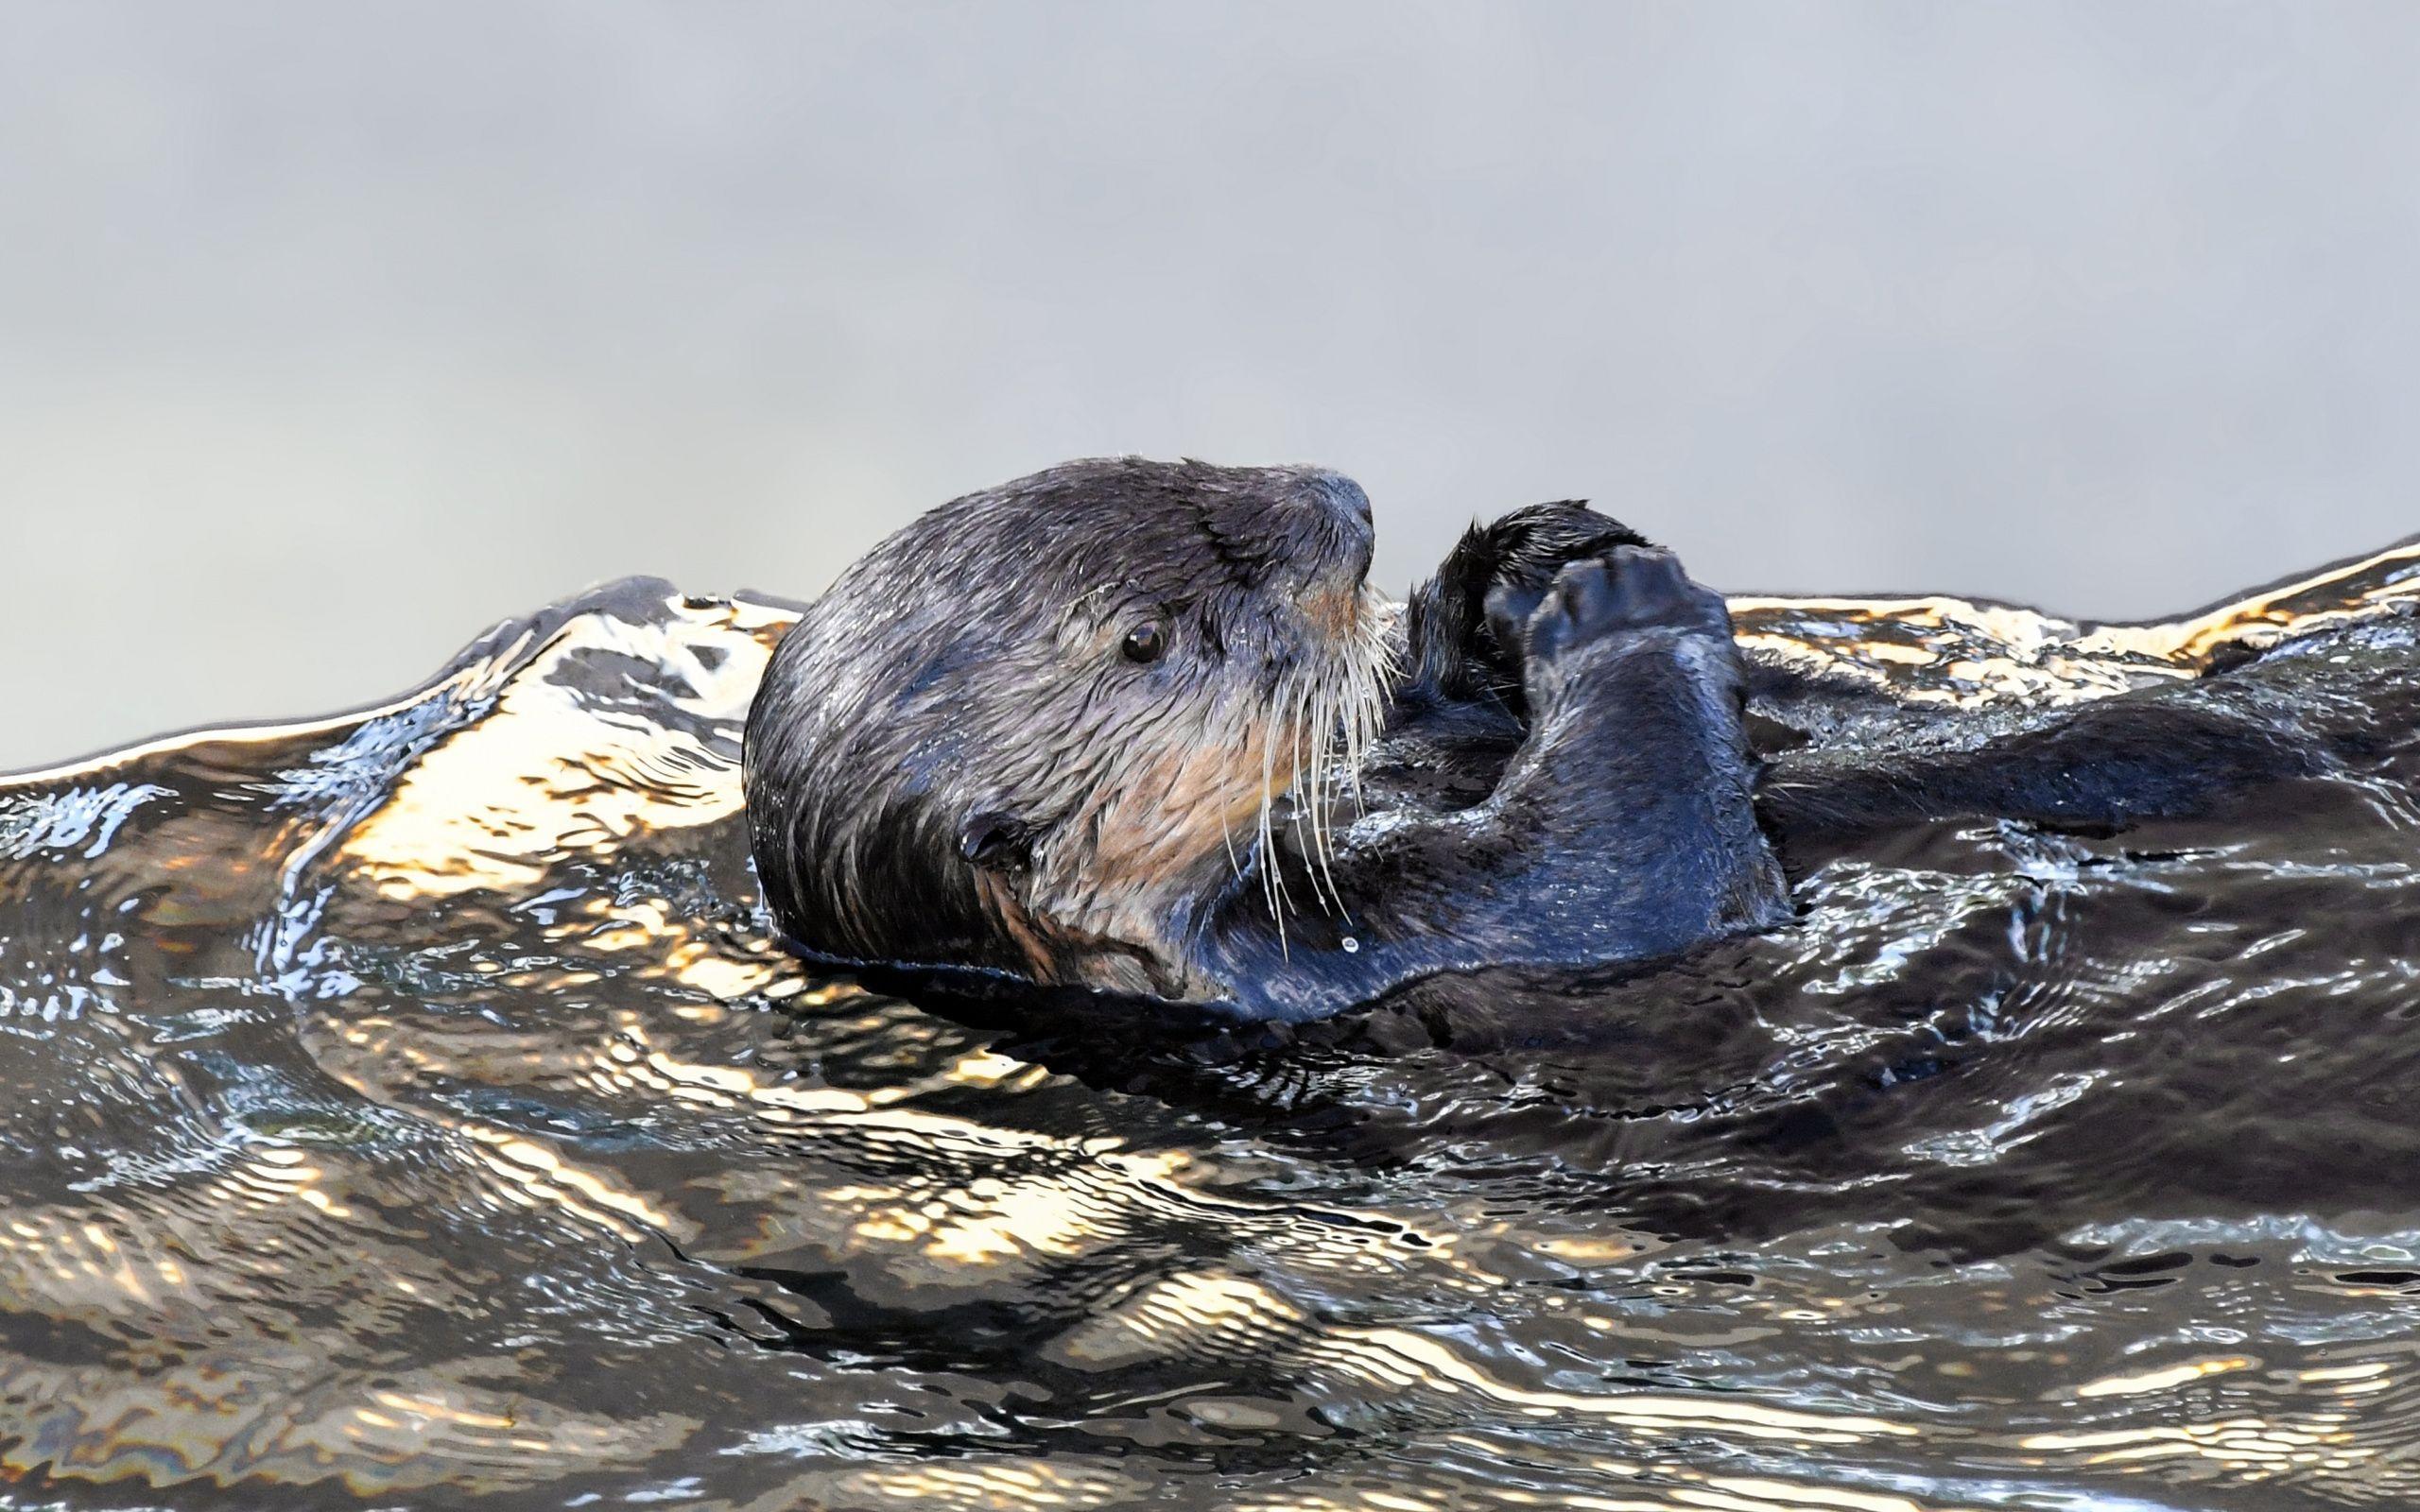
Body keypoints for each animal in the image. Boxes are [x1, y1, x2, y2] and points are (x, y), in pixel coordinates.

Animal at [744, 458, 2326, 1022]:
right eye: (1149, 638)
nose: (1348, 503)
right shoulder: (1363, 947)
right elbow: (1647, 866)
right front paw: (1615, 606)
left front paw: (1520, 555)